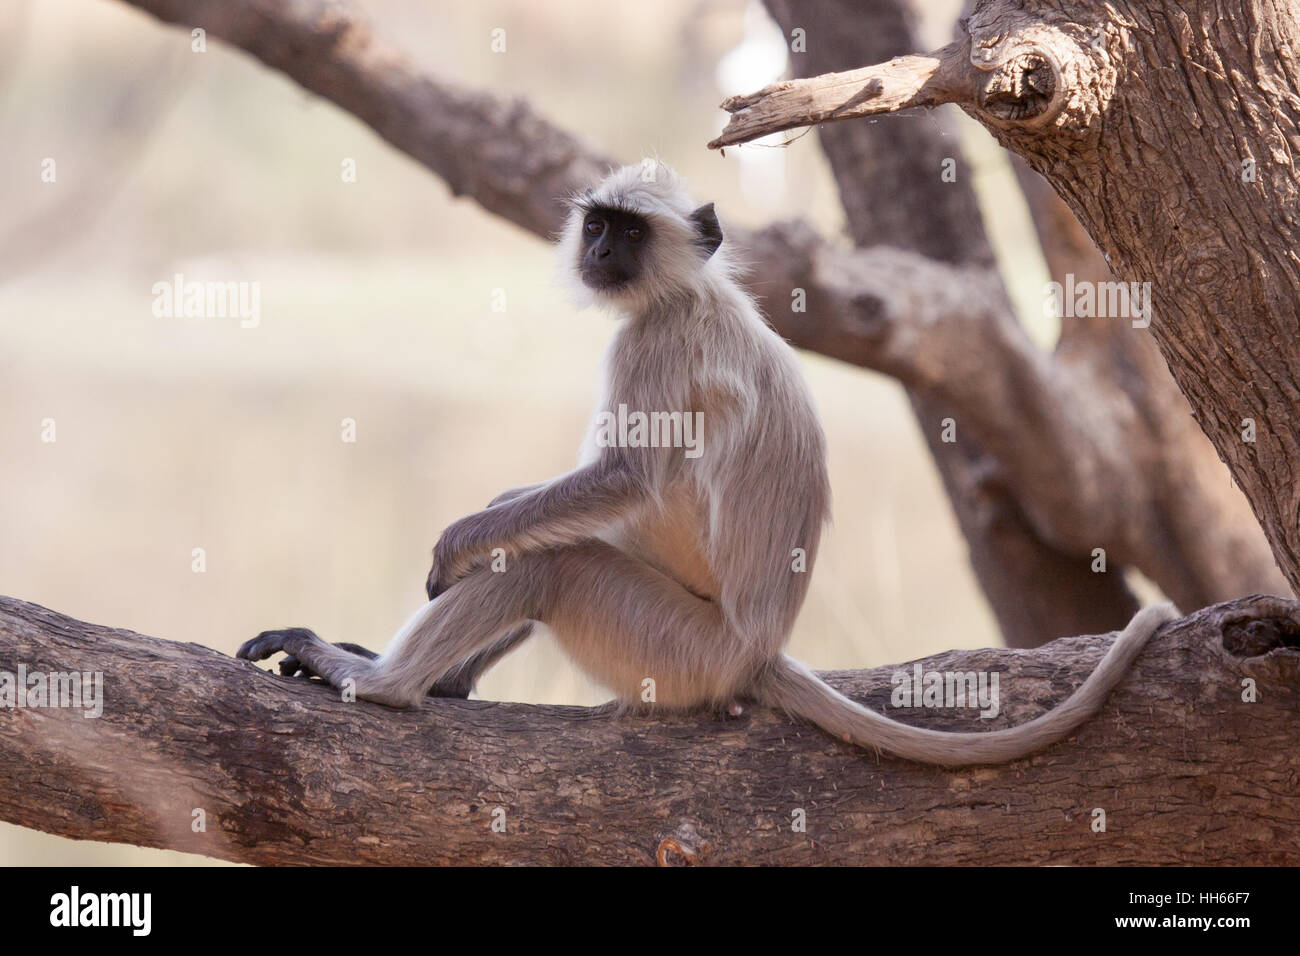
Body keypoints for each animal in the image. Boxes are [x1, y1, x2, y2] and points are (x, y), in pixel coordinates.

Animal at [239, 160, 1179, 768]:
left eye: (627, 232)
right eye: (597, 224)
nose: (599, 253)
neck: (689, 289)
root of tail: (755, 652)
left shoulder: (650, 344)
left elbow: (619, 478)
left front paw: (459, 541)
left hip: (674, 649)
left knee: (556, 563)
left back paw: (384, 686)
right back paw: (443, 684)